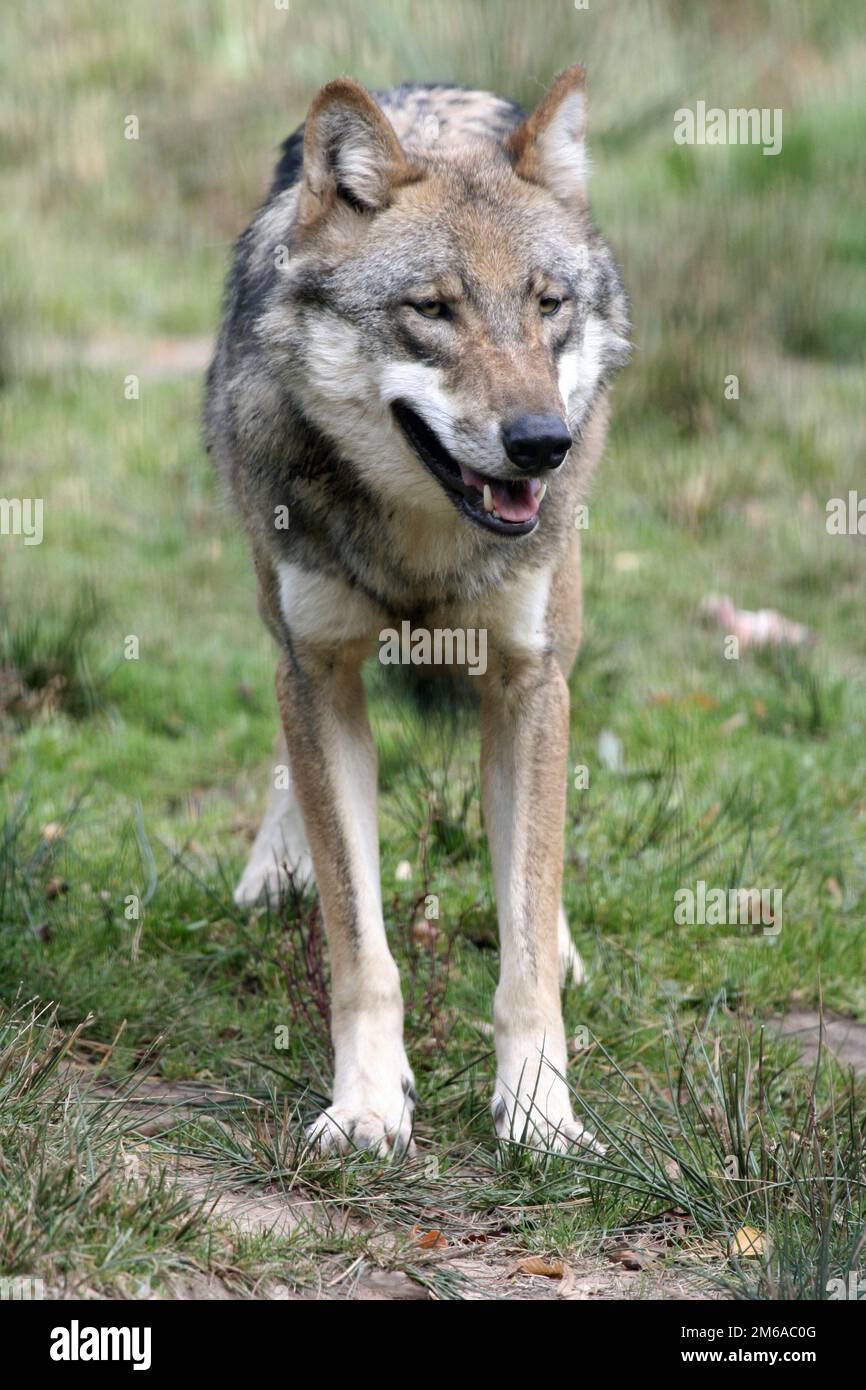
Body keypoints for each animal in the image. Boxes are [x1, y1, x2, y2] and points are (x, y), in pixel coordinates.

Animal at [204, 68, 629, 1156]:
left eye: (546, 305)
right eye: (432, 309)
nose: (542, 442)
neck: (423, 542)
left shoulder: (528, 679)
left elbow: (523, 944)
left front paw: (539, 1113)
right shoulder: (316, 668)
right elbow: (360, 946)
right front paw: (365, 1105)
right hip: (279, 624)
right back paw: (277, 870)